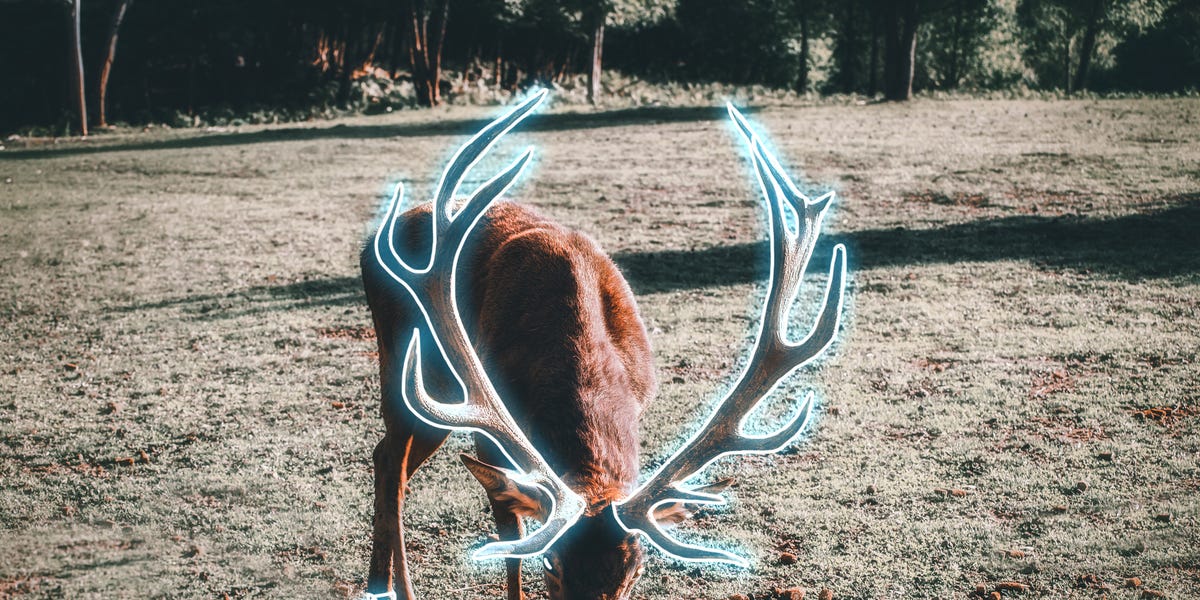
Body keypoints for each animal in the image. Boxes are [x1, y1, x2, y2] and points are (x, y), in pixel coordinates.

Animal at [359, 89, 847, 600]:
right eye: (551, 563)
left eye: (634, 571)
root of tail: (373, 241)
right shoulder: (491, 441)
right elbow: (511, 533)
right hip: (404, 364)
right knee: (391, 459)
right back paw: (386, 586)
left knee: (389, 458)